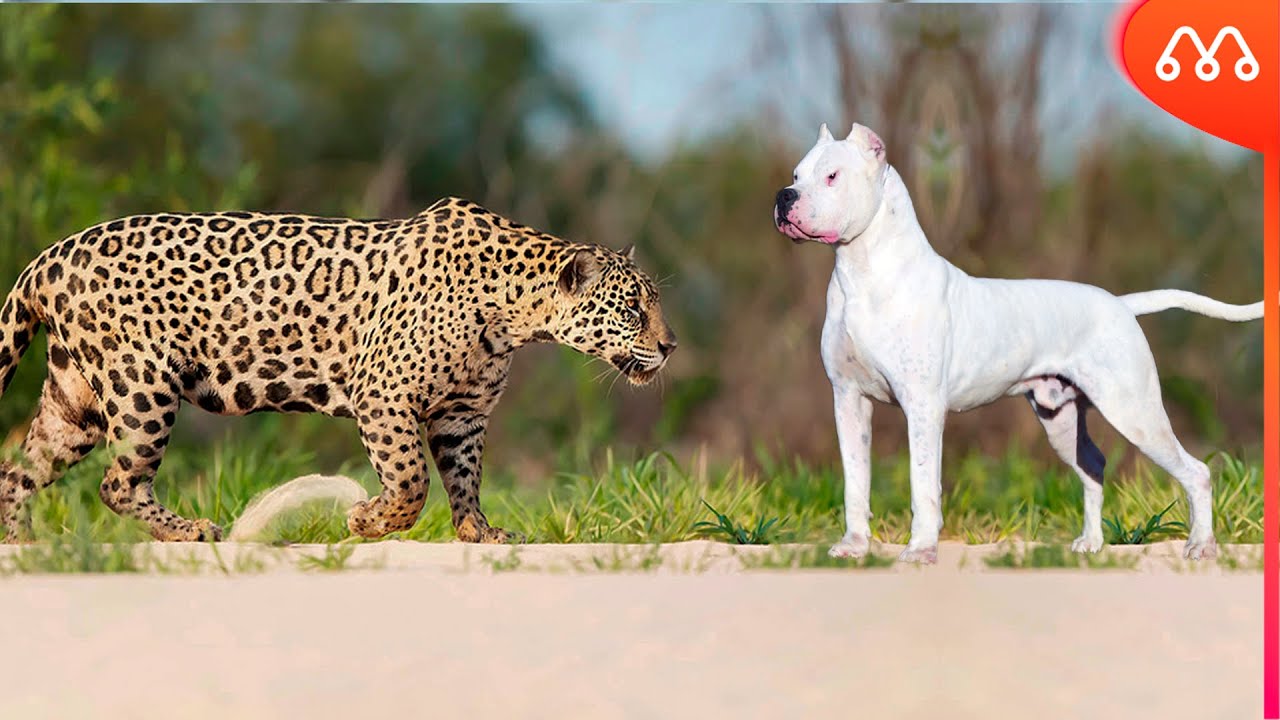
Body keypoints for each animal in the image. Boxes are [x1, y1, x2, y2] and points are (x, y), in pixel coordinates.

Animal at [0, 196, 676, 543]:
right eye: (633, 309)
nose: (670, 346)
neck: (514, 312)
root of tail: (48, 255)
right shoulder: (384, 396)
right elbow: (411, 483)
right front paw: (366, 520)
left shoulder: (463, 415)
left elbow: (464, 479)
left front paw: (480, 533)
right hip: (141, 386)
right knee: (117, 484)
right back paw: (188, 530)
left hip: (75, 401)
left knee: (19, 471)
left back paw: (21, 545)